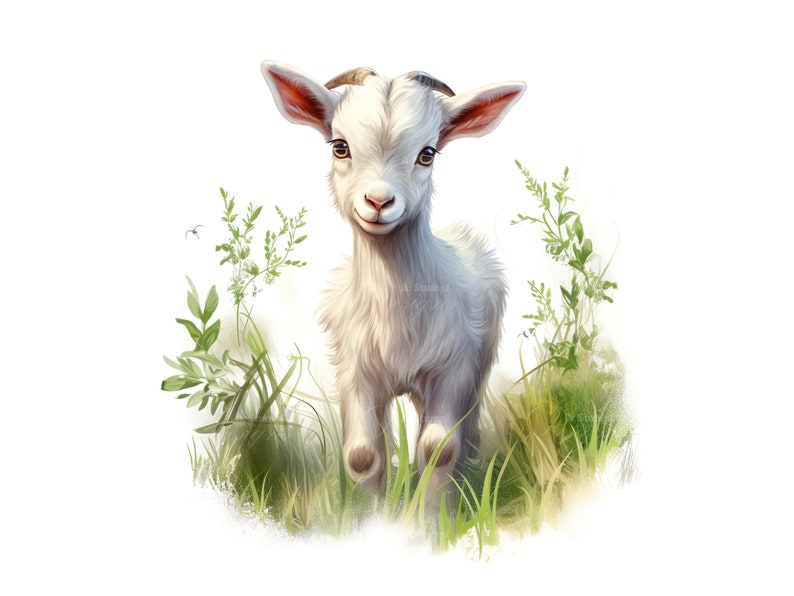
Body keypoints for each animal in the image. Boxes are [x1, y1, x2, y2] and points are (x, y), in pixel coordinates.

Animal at [260, 61, 525, 496]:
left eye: (427, 153)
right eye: (340, 146)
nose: (379, 201)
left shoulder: (454, 365)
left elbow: (438, 447)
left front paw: (435, 511)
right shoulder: (355, 372)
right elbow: (362, 454)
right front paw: (372, 509)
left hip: (481, 358)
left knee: (467, 426)